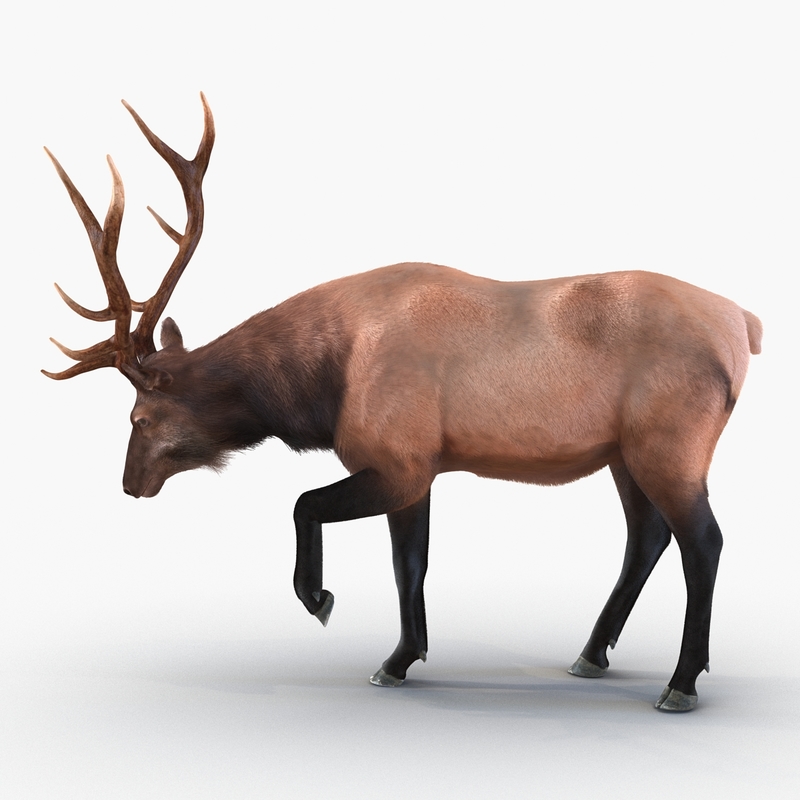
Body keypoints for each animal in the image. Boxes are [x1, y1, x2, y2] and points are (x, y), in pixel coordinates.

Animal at [43, 94, 762, 713]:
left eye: (138, 417)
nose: (130, 484)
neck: (318, 388)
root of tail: (744, 324)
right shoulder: (421, 468)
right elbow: (408, 564)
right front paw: (400, 658)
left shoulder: (399, 458)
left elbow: (305, 504)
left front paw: (319, 597)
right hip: (623, 452)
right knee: (647, 536)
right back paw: (591, 653)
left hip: (670, 441)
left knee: (704, 540)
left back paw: (680, 682)